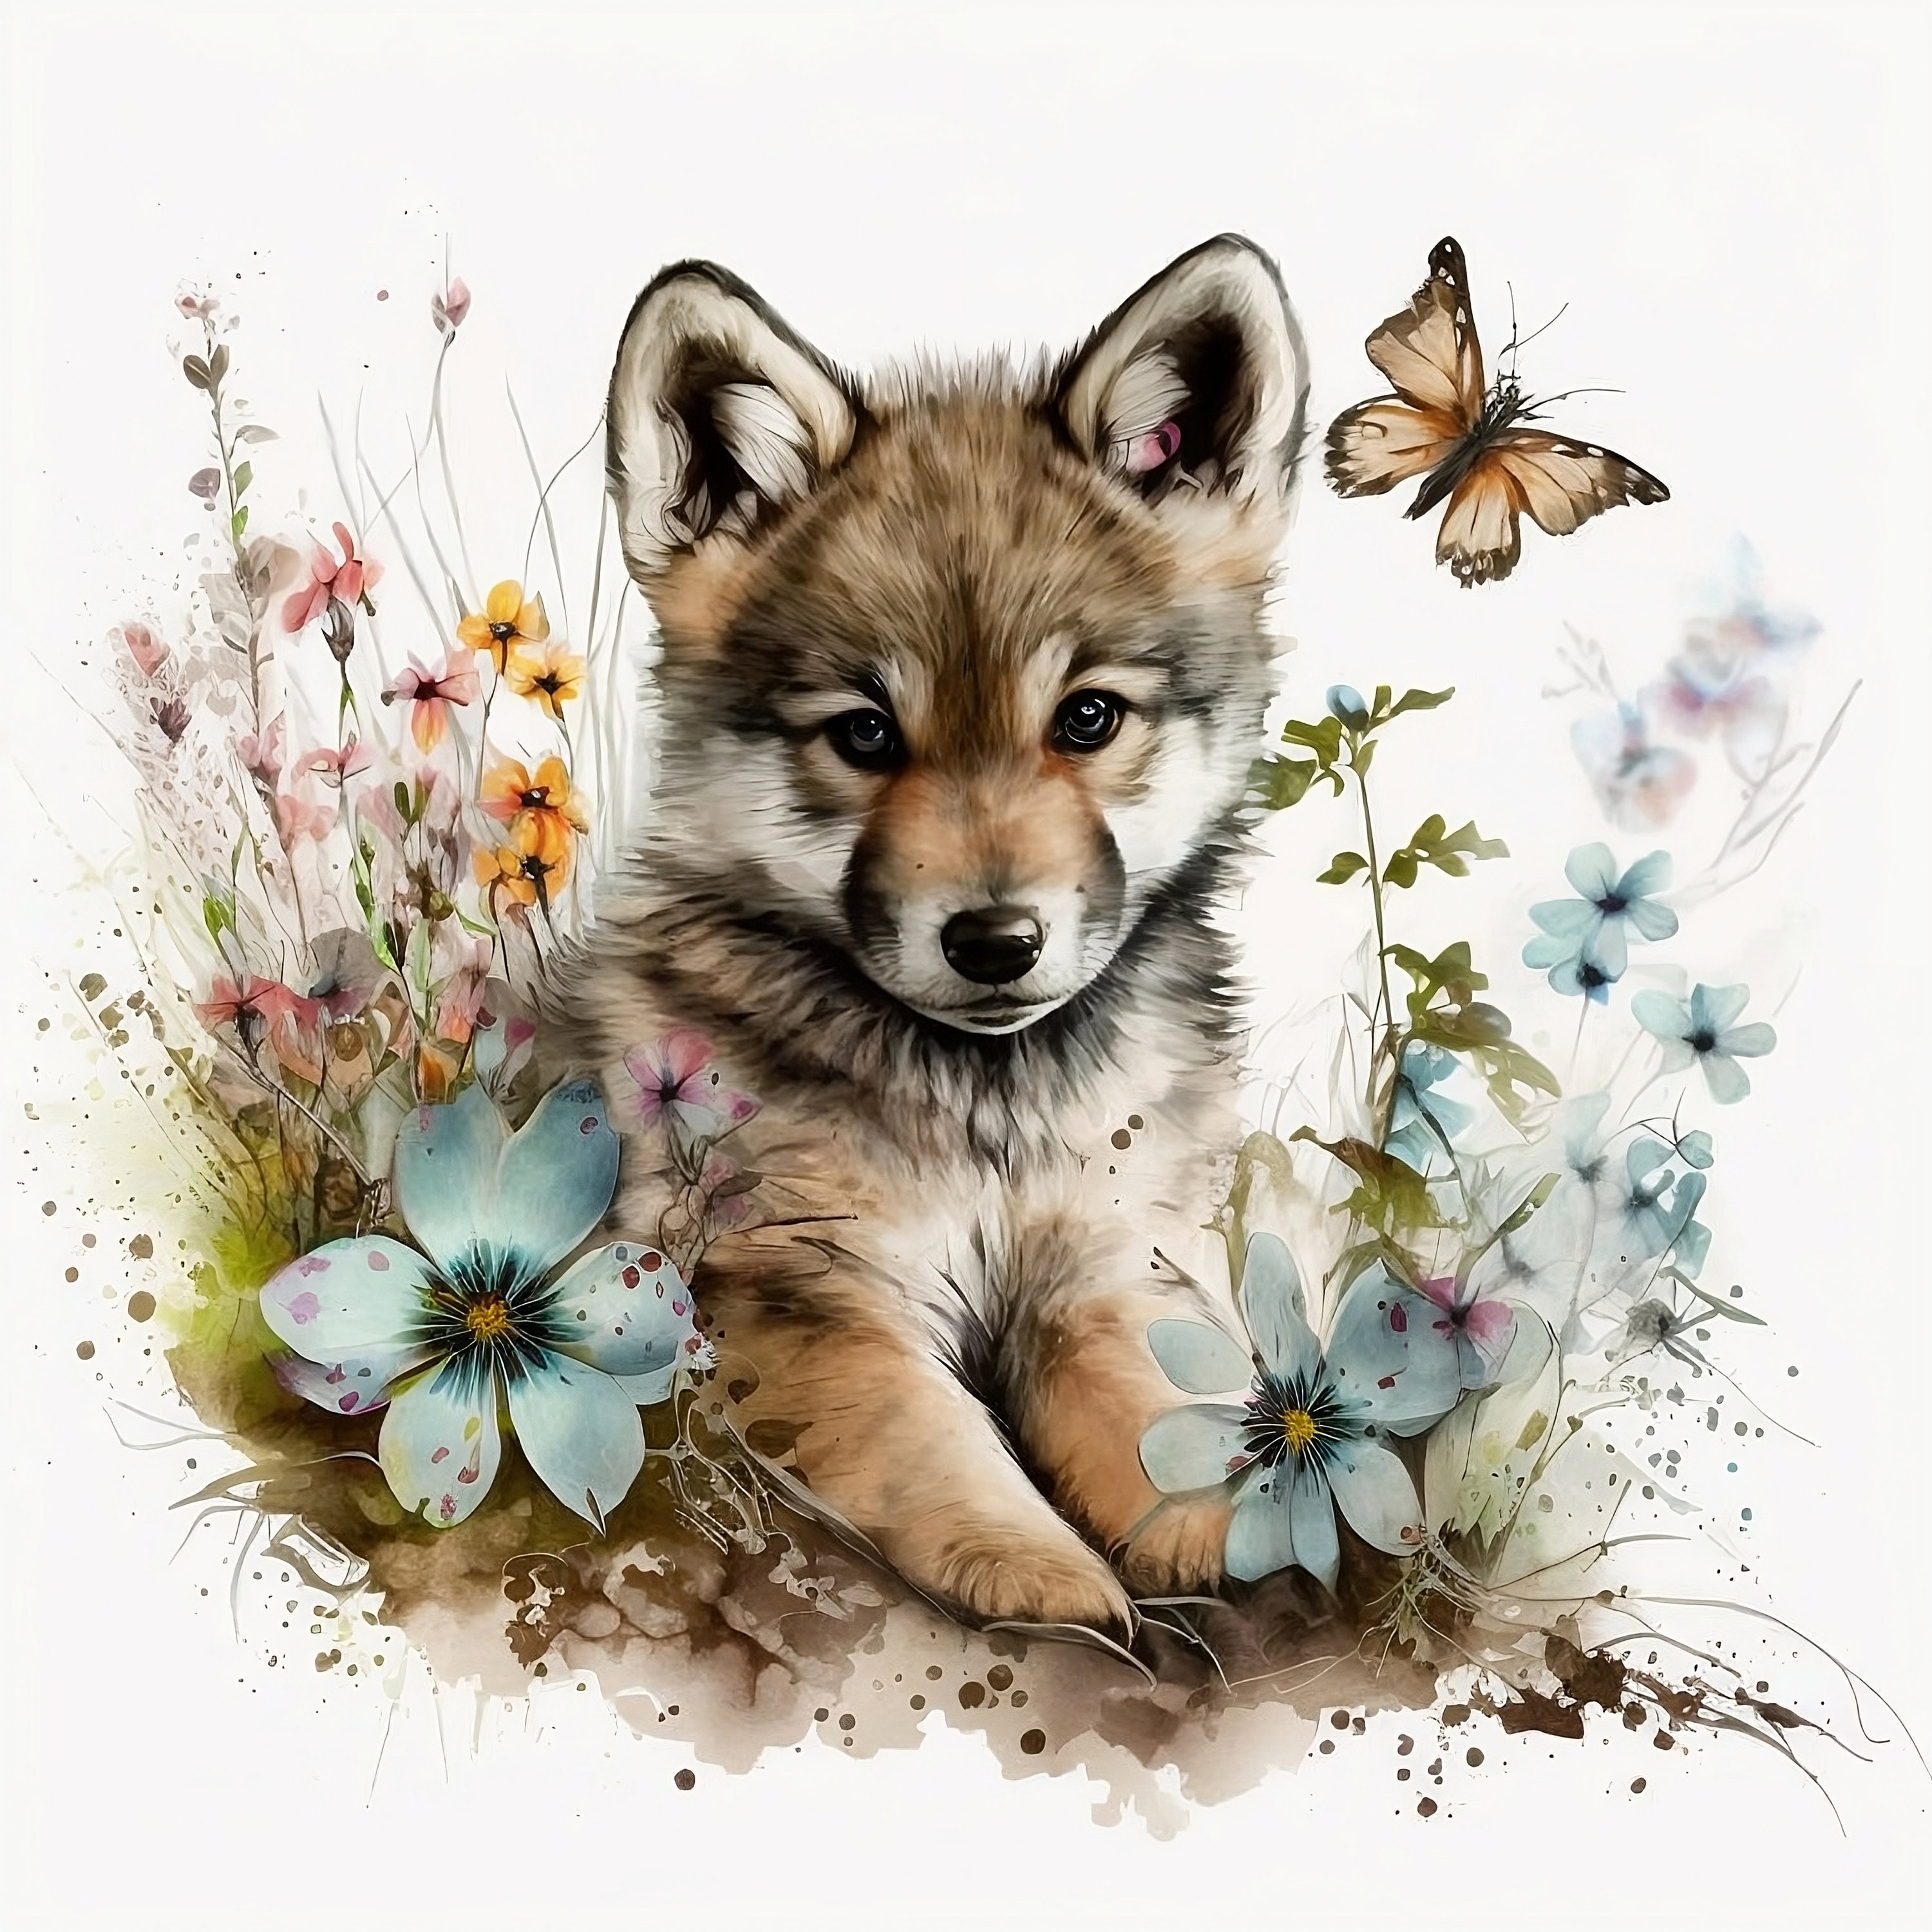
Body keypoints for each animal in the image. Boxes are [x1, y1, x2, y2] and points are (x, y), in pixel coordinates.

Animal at [547, 235, 1310, 1630]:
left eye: (1087, 718)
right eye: (863, 733)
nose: (996, 943)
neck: (989, 1116)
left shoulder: (1107, 1273)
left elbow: (1156, 1422)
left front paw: (1211, 1538)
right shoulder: (786, 1295)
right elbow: (931, 1438)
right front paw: (1041, 1574)